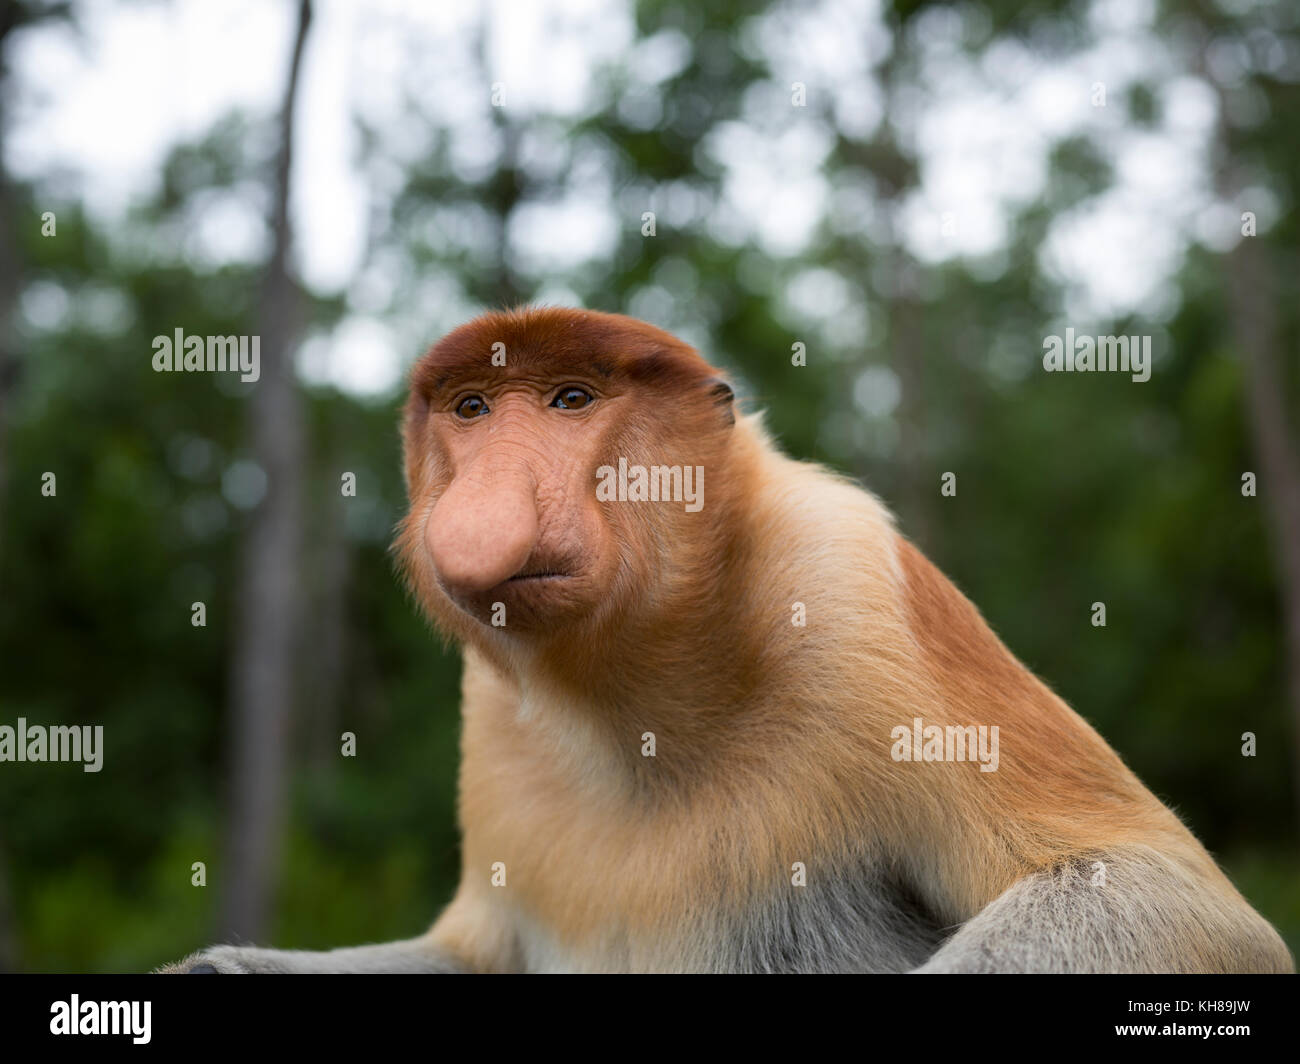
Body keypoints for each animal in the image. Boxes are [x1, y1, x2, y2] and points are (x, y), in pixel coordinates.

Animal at [162, 307, 1294, 974]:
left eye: (570, 398)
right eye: (472, 407)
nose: (482, 503)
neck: (633, 697)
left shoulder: (851, 589)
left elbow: (1161, 893)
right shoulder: (492, 716)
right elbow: (476, 953)